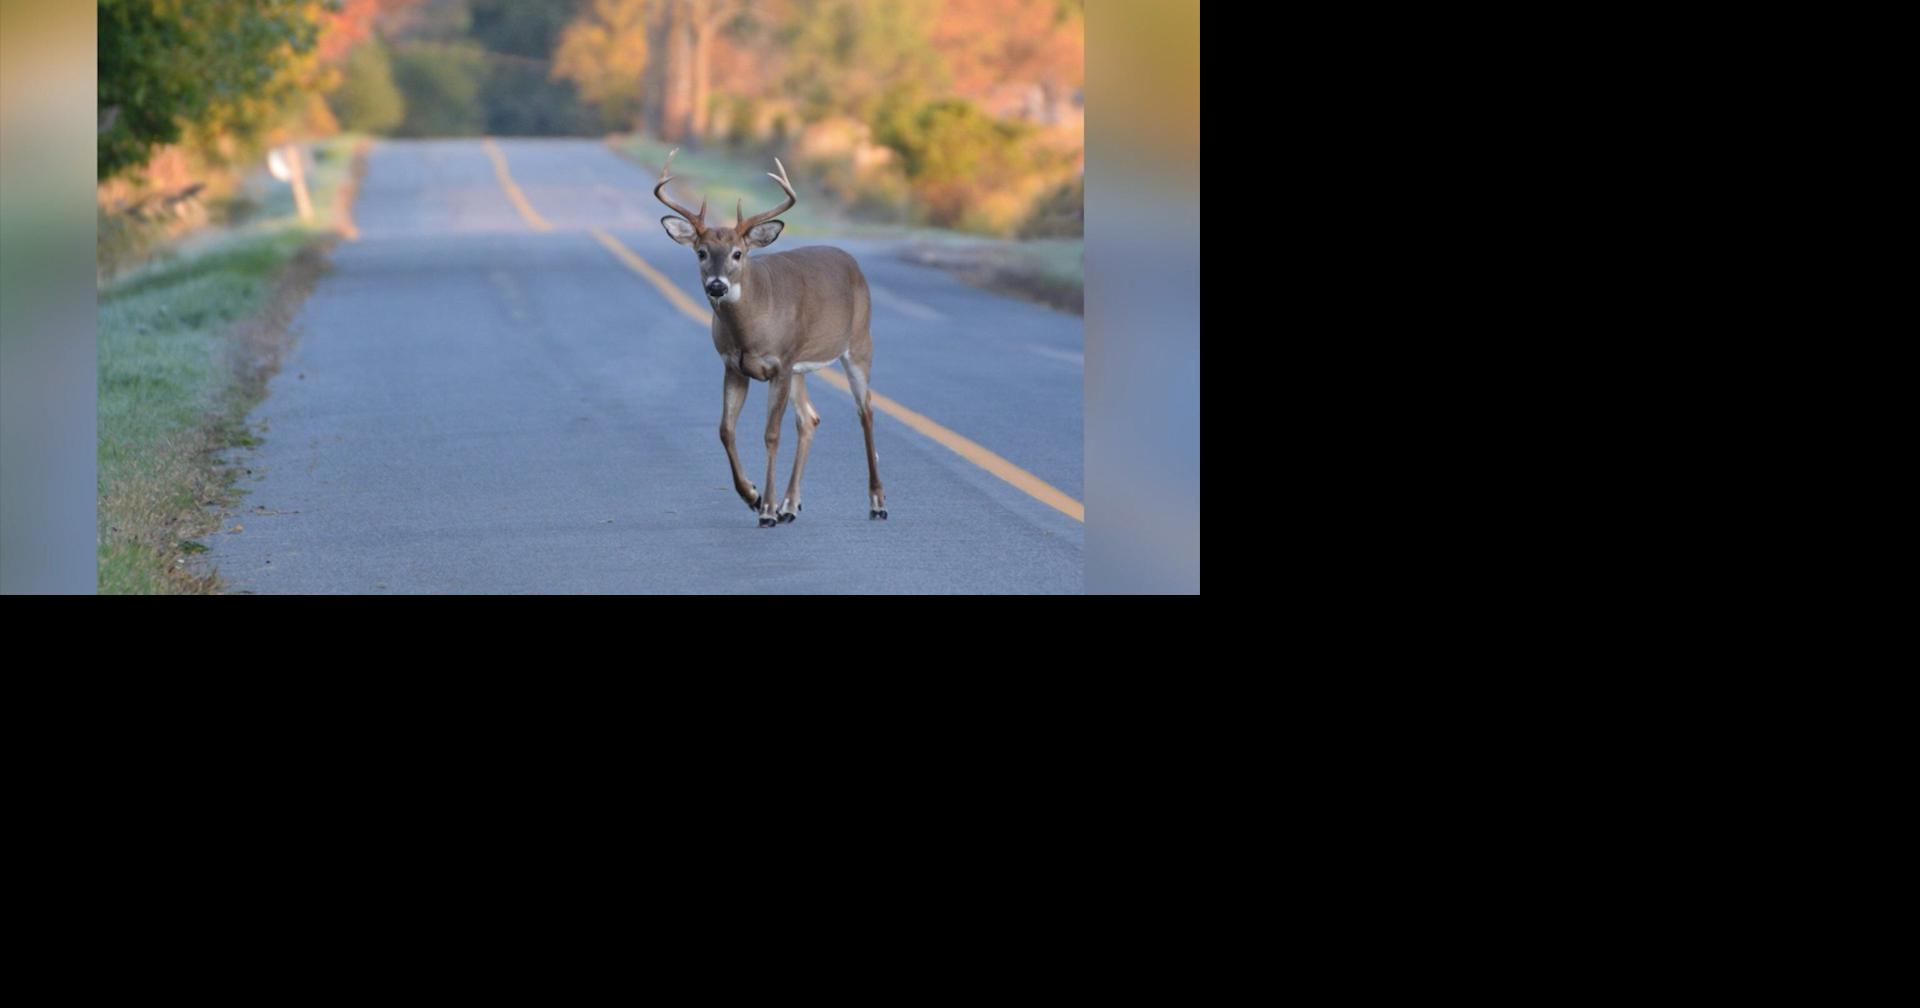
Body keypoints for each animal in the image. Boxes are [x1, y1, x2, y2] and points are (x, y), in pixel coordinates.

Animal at [654, 150, 887, 528]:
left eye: (738, 253)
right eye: (701, 252)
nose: (716, 285)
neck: (750, 330)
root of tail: (851, 262)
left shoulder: (780, 362)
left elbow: (771, 434)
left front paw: (766, 510)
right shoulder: (735, 366)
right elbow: (725, 430)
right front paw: (753, 496)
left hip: (858, 345)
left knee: (865, 411)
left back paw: (877, 503)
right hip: (800, 369)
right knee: (809, 419)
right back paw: (791, 505)